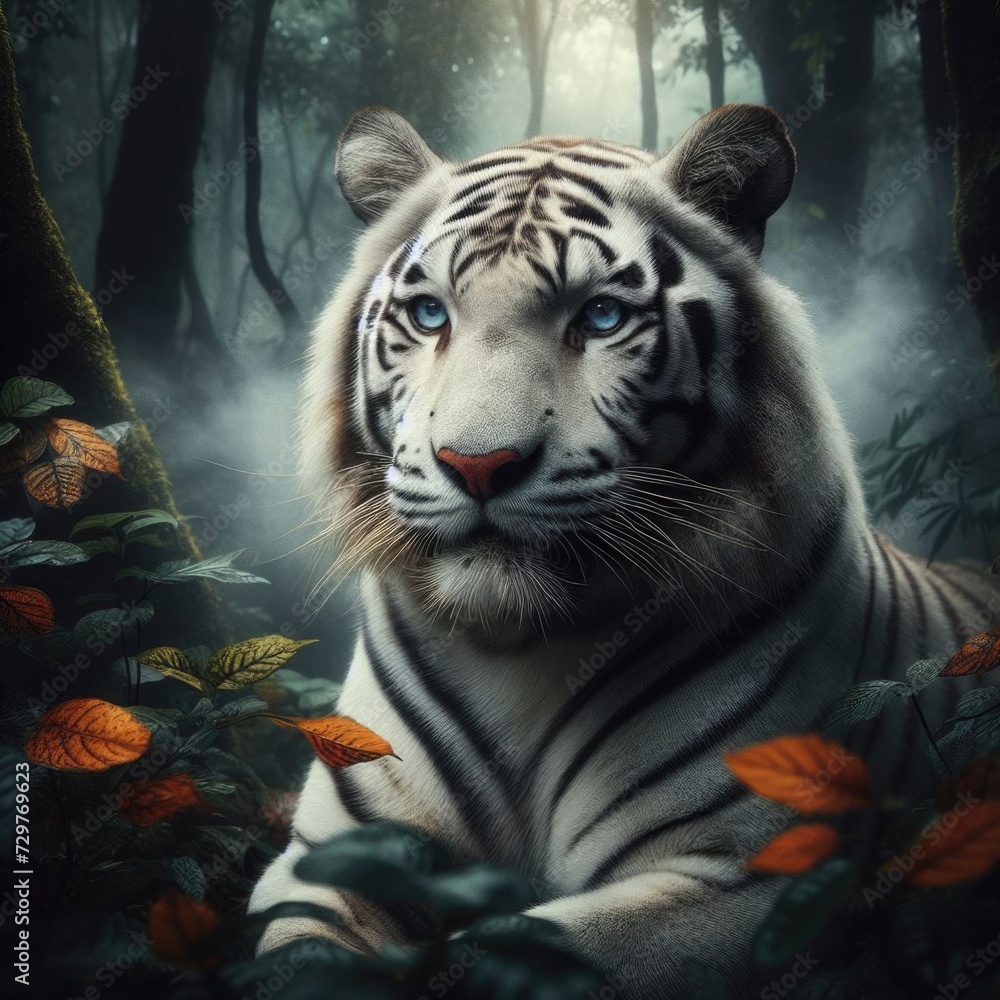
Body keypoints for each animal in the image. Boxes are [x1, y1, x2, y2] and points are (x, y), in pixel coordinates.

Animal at [248, 103, 1000, 998]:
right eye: (430, 315)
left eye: (601, 318)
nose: (478, 464)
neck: (515, 653)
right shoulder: (321, 862)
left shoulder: (753, 877)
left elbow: (503, 955)